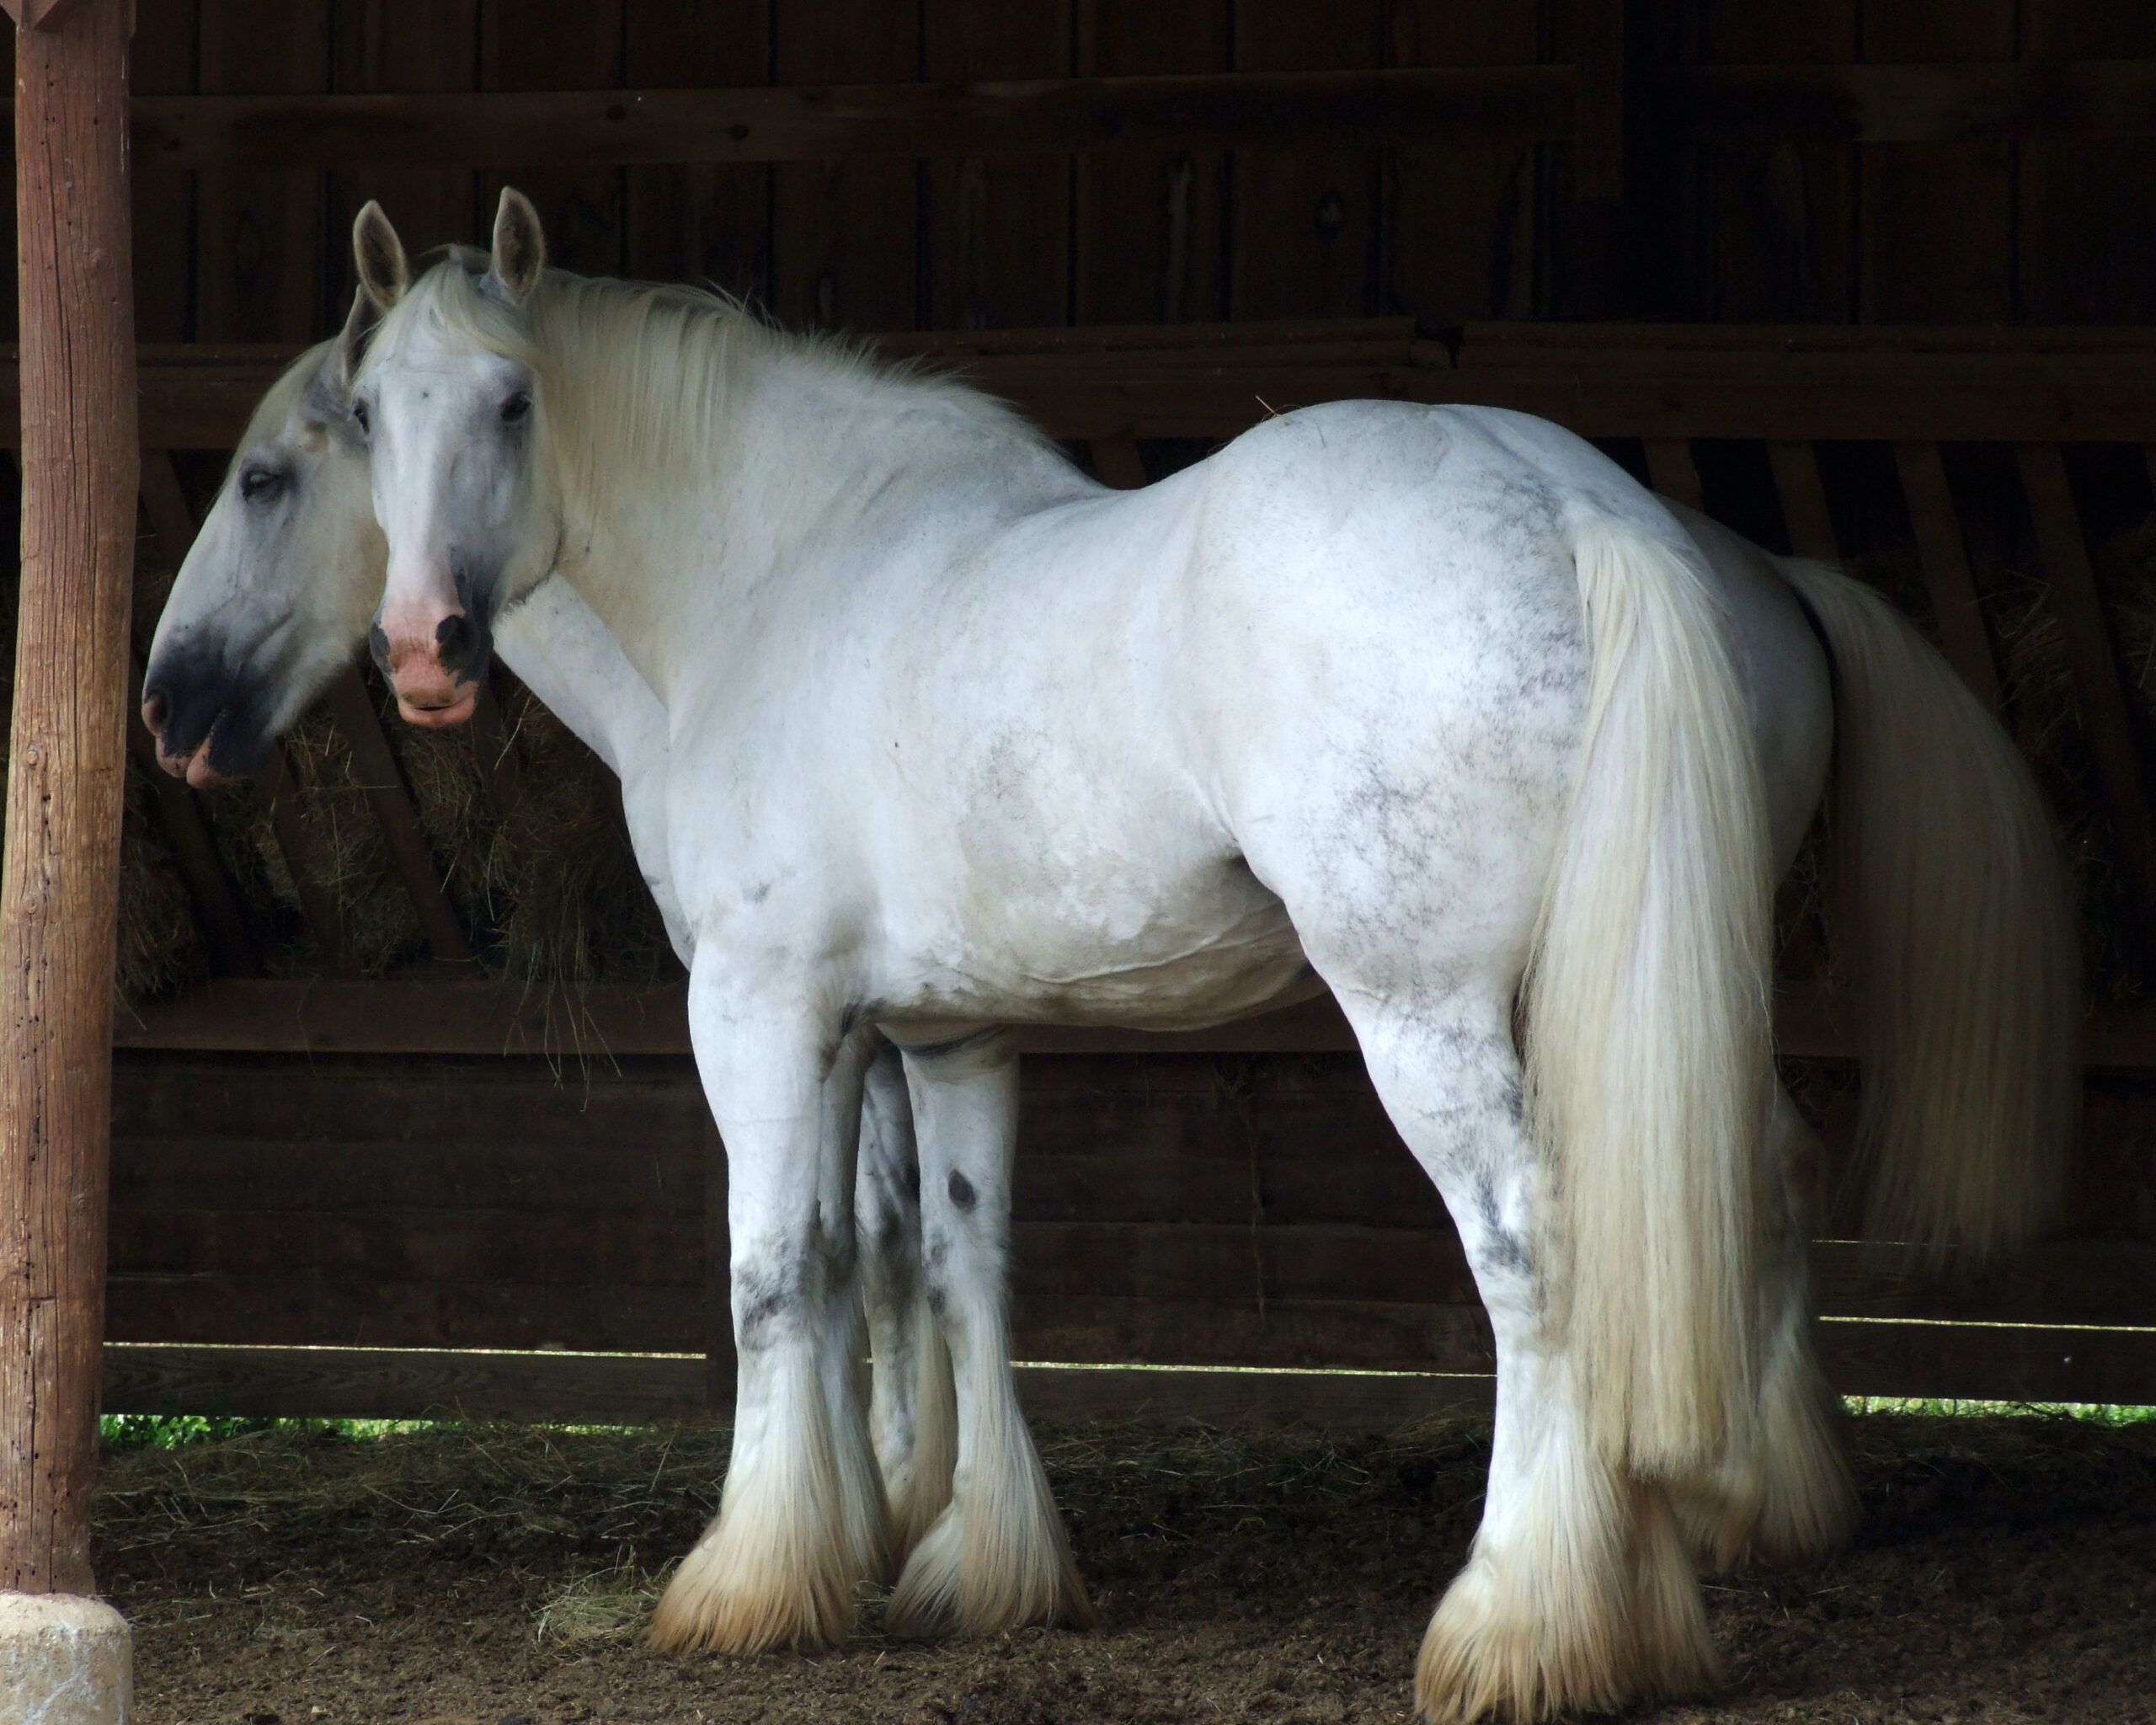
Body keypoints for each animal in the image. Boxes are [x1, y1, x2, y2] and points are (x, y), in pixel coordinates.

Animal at [142, 190, 2077, 1721]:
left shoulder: (761, 1014)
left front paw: (754, 1582)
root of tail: (1581, 508)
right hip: (1644, 989)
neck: (770, 586)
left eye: (506, 400)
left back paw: (1524, 1625)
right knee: (1742, 1176)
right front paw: (958, 1556)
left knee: (1541, 1253)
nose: (421, 648)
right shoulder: (937, 1035)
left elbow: (779, 1273)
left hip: (1431, 1014)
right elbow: (937, 1264)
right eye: (370, 413)